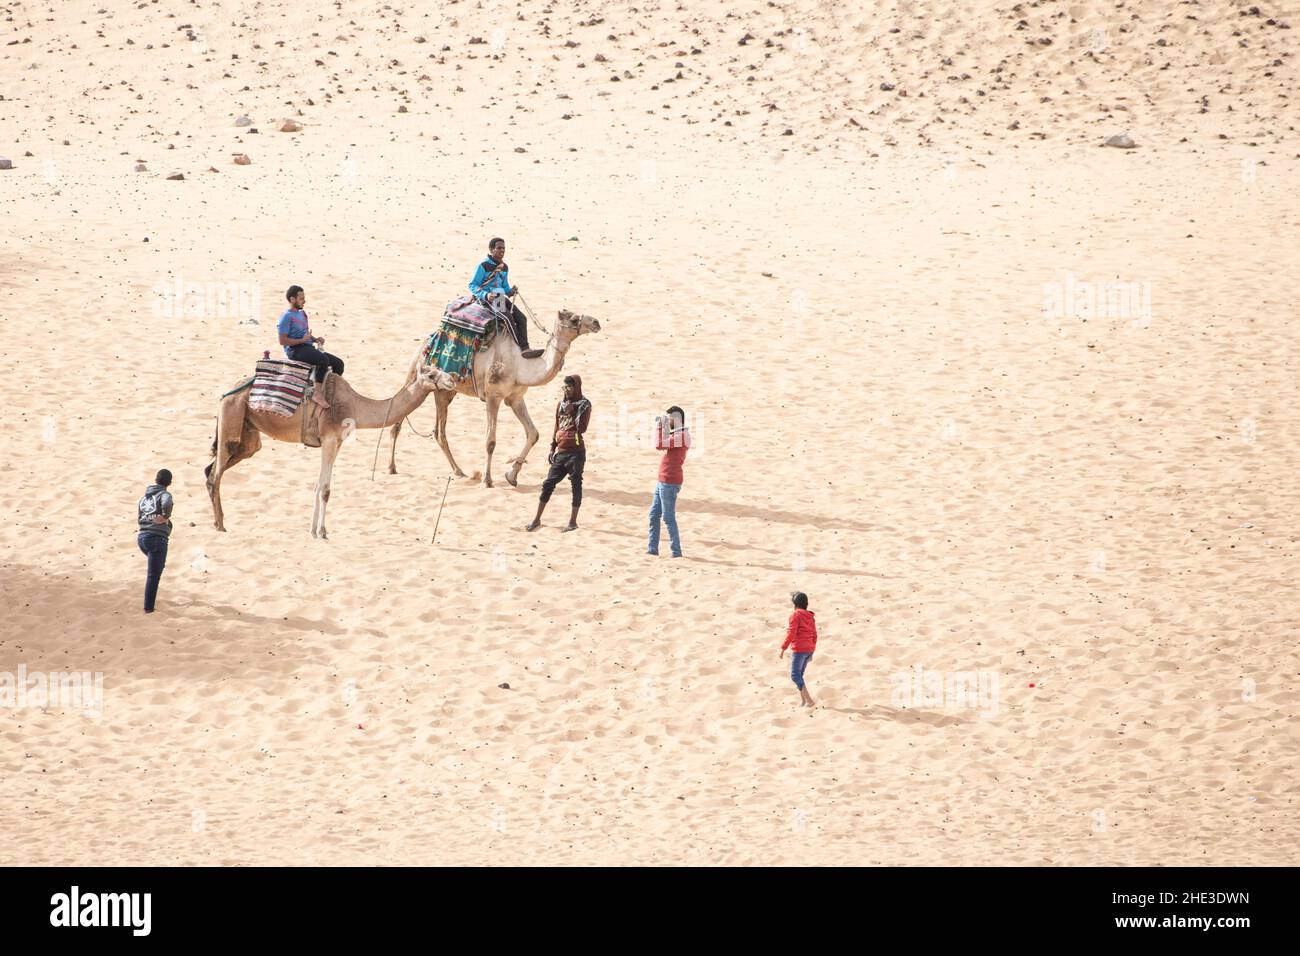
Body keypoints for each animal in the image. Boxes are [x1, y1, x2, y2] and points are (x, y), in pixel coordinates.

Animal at [205, 364, 442, 538]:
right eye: (431, 374)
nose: (449, 380)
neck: (355, 405)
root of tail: (225, 395)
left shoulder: (336, 442)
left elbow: (319, 485)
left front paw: (313, 530)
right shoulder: (329, 439)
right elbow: (326, 489)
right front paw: (322, 531)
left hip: (249, 433)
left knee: (213, 469)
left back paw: (217, 522)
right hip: (232, 417)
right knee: (216, 474)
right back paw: (221, 526)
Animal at [387, 309, 602, 487]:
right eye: (573, 318)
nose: (596, 322)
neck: (520, 366)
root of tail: (426, 343)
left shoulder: (515, 398)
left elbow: (533, 434)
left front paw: (512, 475)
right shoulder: (493, 396)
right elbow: (490, 441)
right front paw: (487, 480)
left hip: (445, 392)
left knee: (437, 431)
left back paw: (458, 471)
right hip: (417, 377)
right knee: (402, 420)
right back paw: (392, 467)